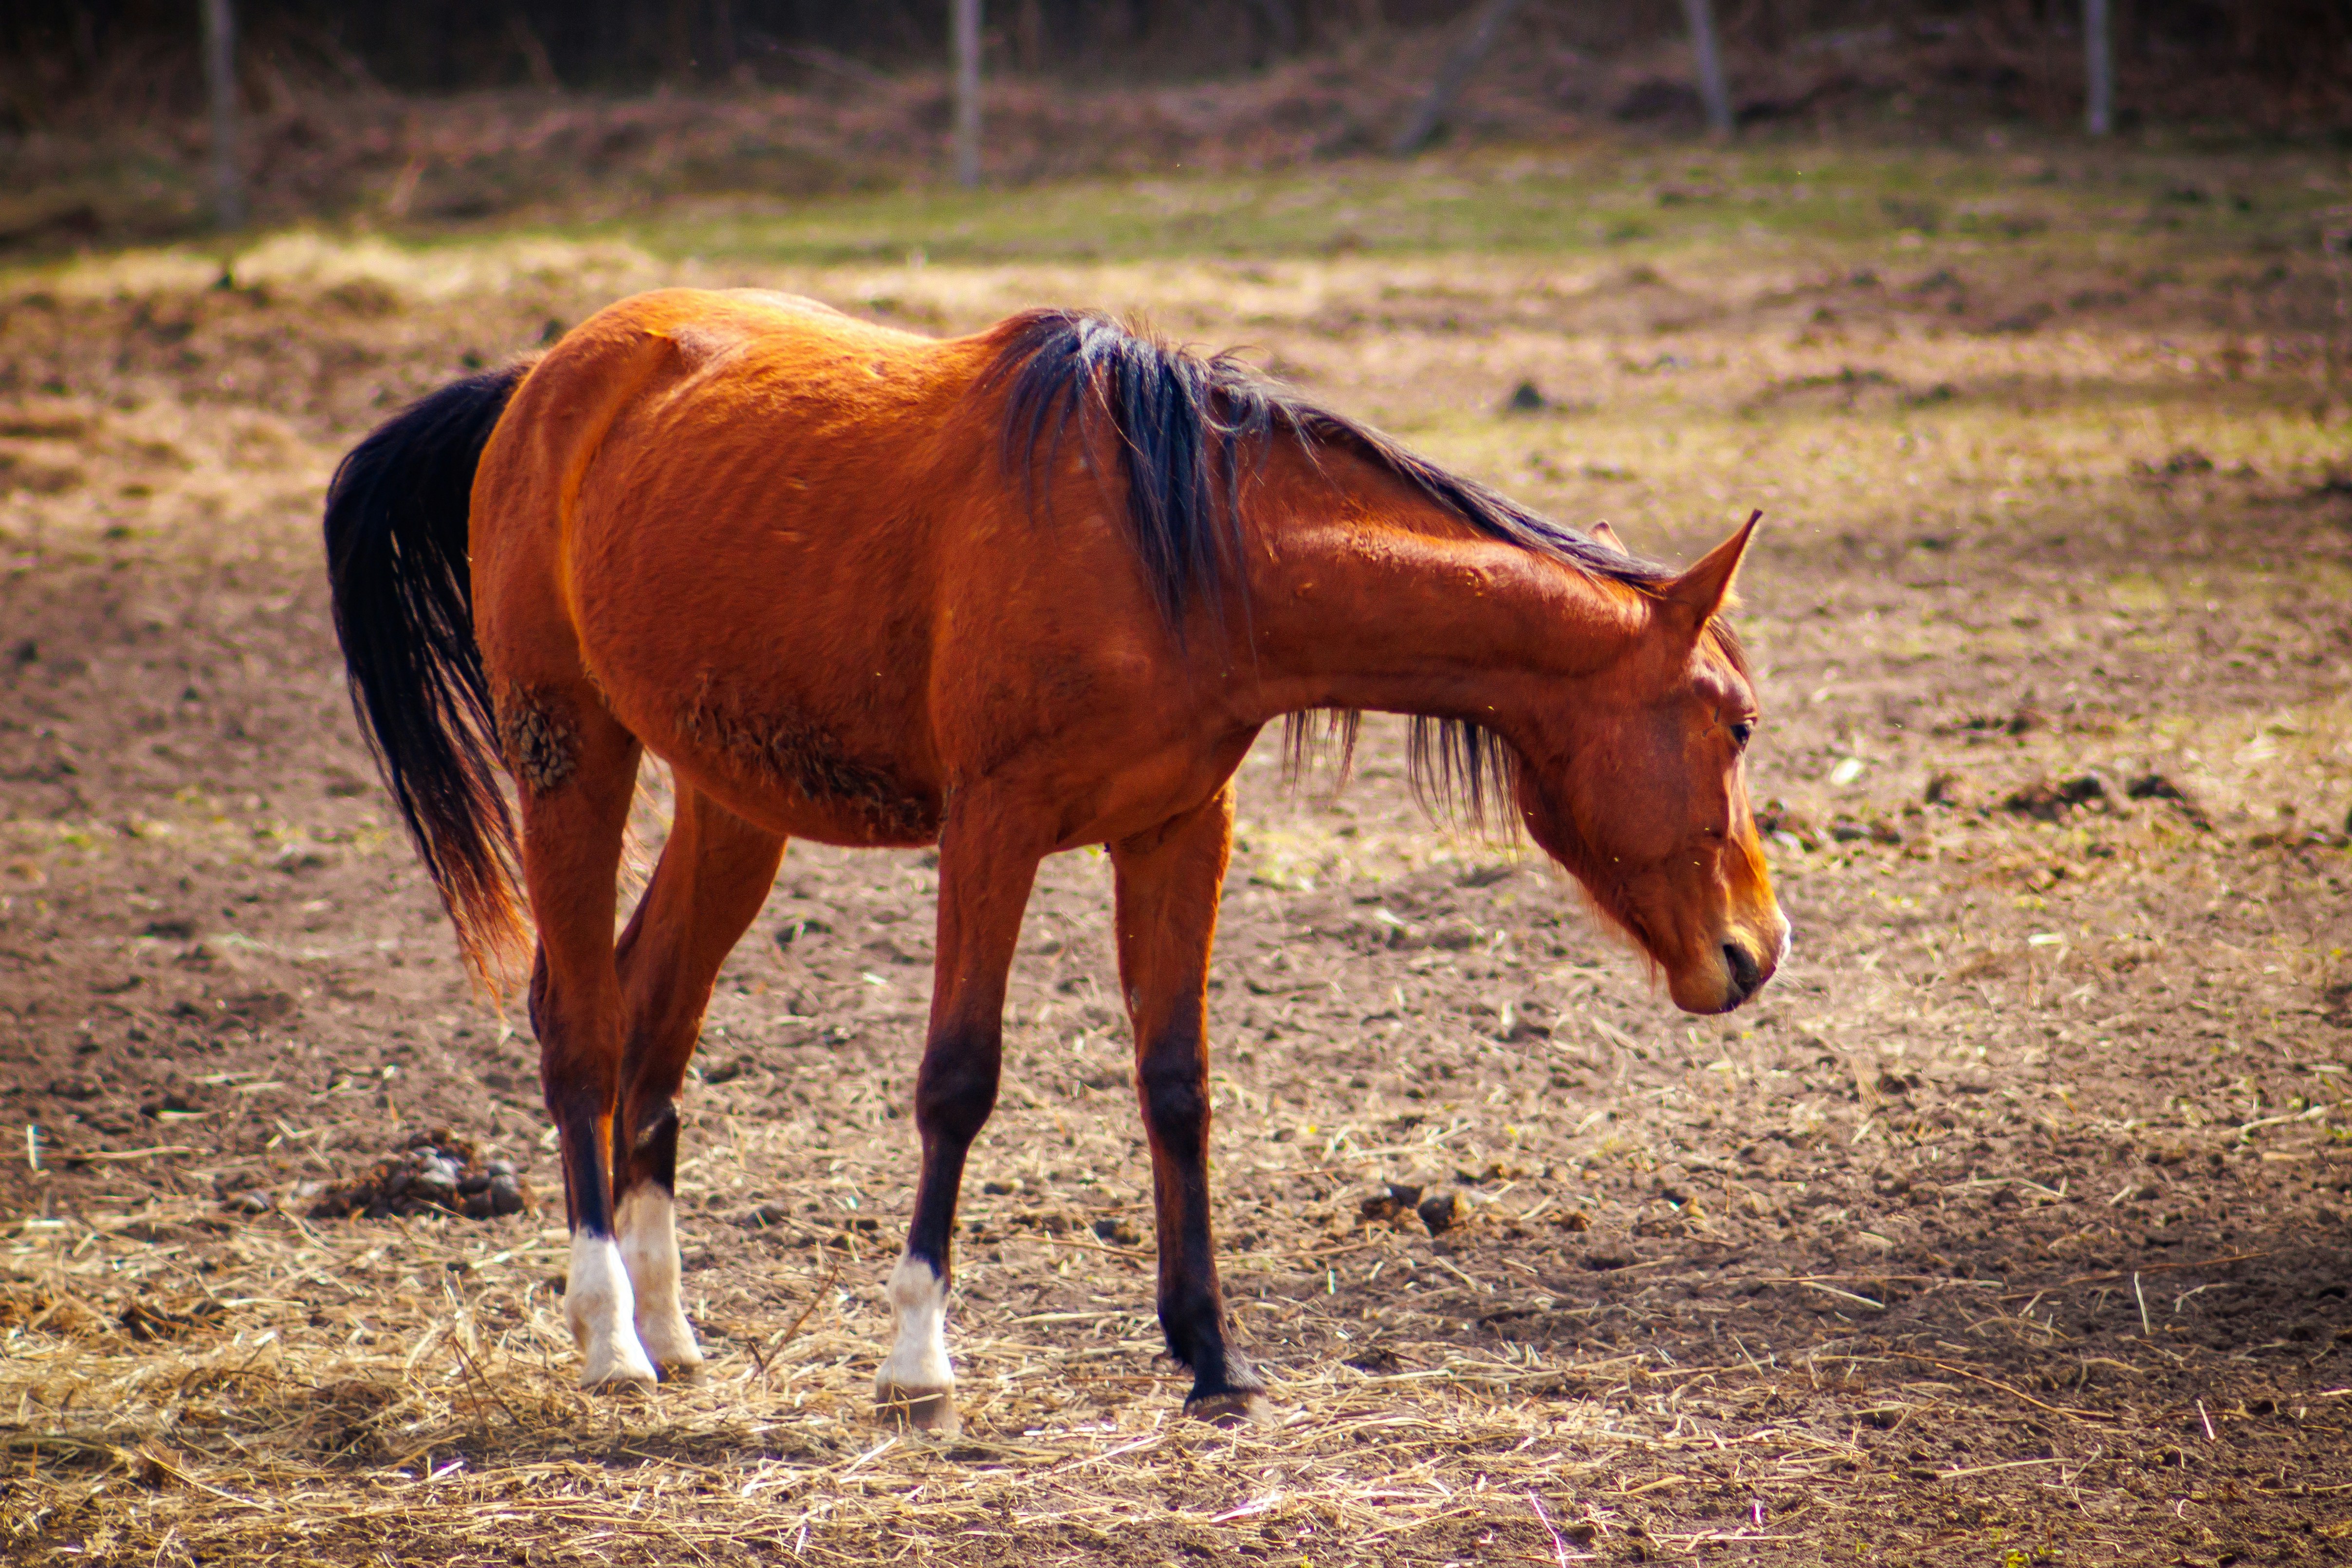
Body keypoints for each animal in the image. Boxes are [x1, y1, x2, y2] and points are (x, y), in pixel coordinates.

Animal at [323, 287, 1787, 1430]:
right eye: (1735, 720)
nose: (1756, 953)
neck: (1185, 551)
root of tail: (543, 381)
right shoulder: (997, 825)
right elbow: (958, 1078)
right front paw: (918, 1358)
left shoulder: (1180, 829)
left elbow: (1177, 1084)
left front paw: (1213, 1354)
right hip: (569, 749)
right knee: (576, 1023)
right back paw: (612, 1337)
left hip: (732, 802)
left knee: (652, 1015)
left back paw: (672, 1327)